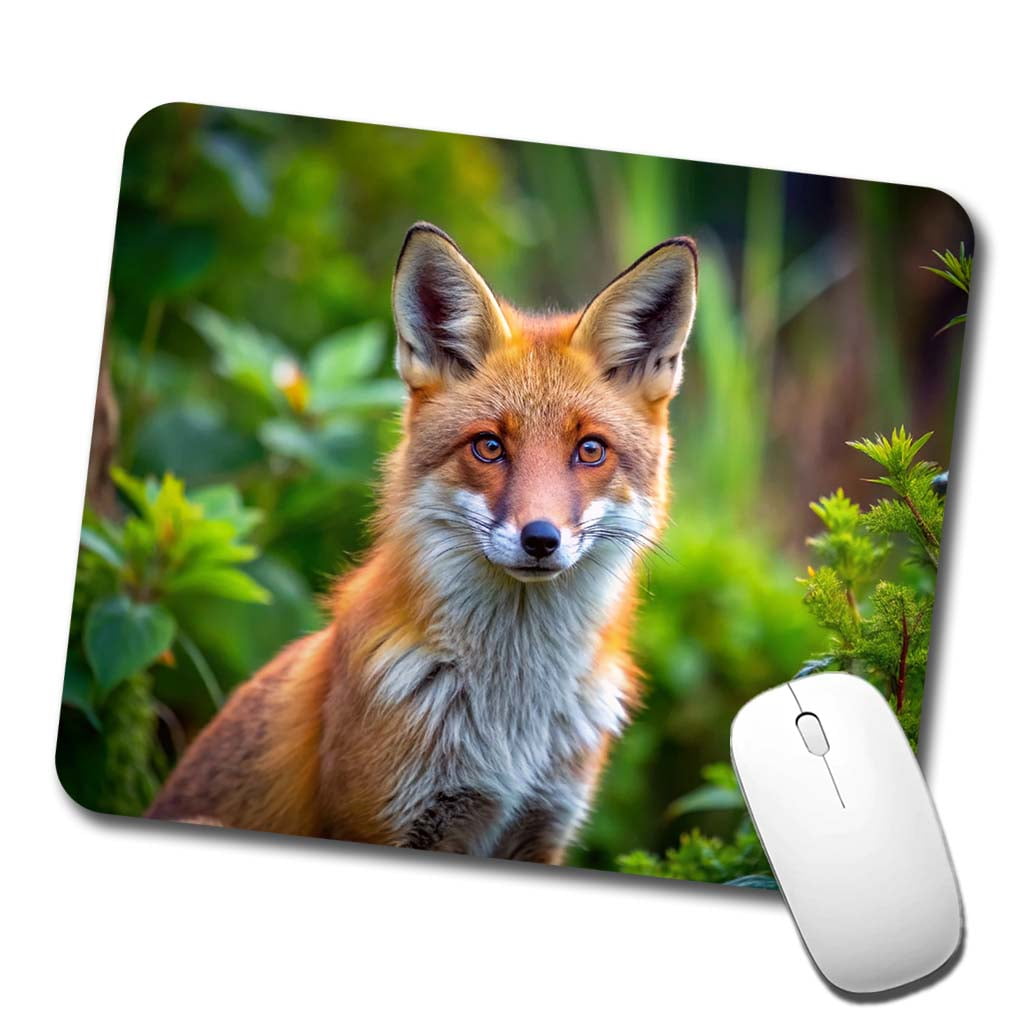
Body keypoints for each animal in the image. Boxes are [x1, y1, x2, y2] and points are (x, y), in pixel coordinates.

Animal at [146, 222, 698, 864]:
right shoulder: (384, 822)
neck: (512, 724)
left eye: (590, 450)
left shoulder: (541, 832)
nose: (540, 538)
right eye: (489, 447)